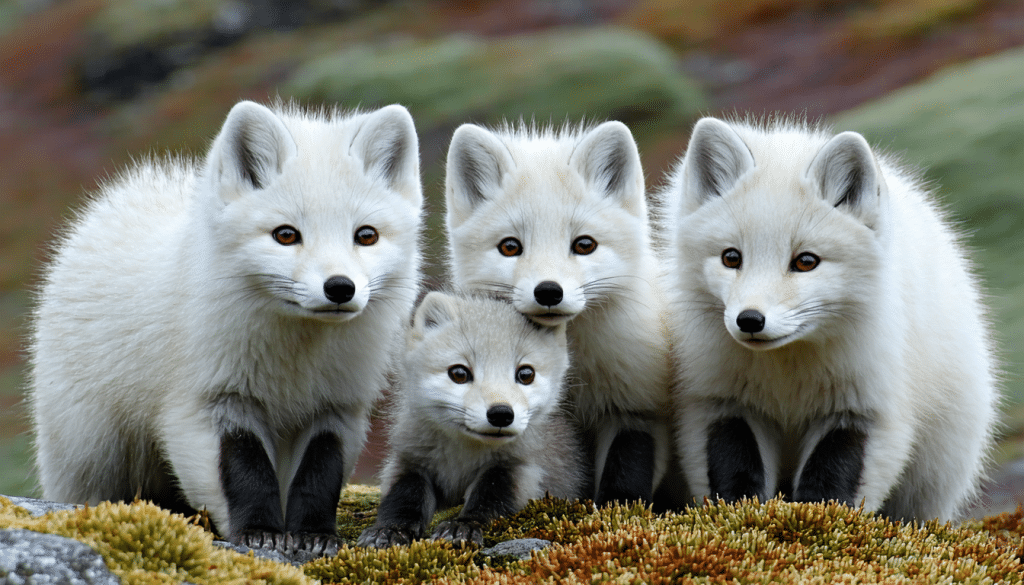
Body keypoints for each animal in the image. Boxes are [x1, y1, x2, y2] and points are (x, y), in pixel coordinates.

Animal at [28, 100, 423, 552]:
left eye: (366, 235)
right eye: (286, 235)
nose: (340, 287)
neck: (296, 363)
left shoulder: (337, 407)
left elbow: (319, 475)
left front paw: (314, 536)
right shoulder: (210, 402)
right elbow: (244, 474)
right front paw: (258, 533)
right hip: (92, 454)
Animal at [358, 291, 584, 547]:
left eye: (526, 374)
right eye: (459, 373)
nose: (501, 413)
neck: (462, 459)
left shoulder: (518, 467)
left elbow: (489, 500)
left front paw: (463, 526)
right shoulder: (411, 459)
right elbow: (403, 497)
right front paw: (389, 530)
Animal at [443, 121, 675, 507]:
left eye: (584, 245)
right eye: (510, 246)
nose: (549, 291)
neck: (574, 372)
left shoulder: (635, 407)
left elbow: (624, 477)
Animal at [664, 115, 998, 521]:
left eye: (806, 261)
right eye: (731, 257)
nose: (750, 320)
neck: (787, 376)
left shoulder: (863, 410)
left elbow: (830, 489)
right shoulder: (720, 402)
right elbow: (736, 482)